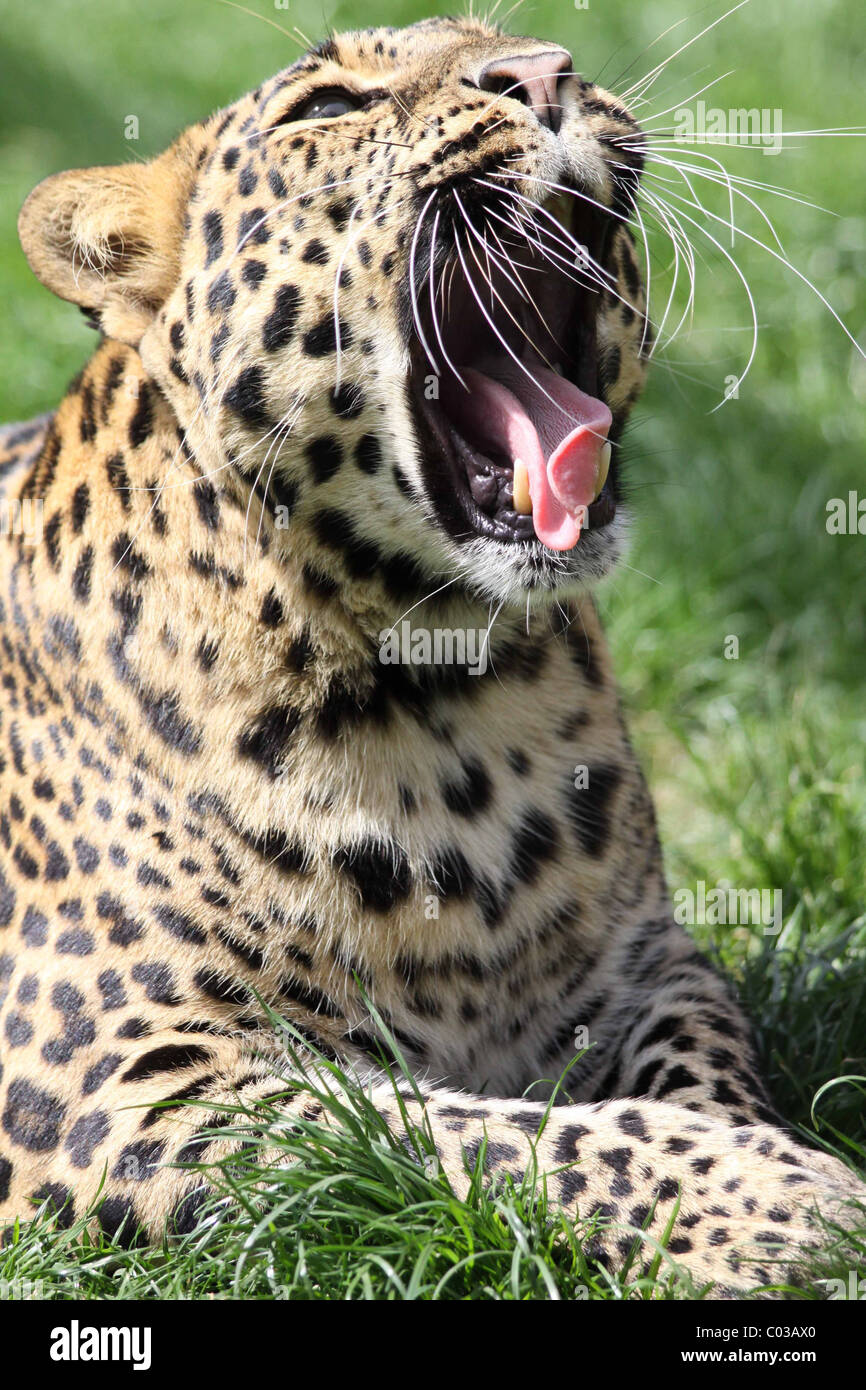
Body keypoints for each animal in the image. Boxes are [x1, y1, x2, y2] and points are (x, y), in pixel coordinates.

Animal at [0, 15, 862, 1296]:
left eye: (516, 42)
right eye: (327, 105)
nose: (546, 73)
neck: (449, 699)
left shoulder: (650, 967)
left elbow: (702, 1064)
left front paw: (752, 1156)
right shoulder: (118, 1071)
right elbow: (466, 1129)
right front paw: (775, 1198)